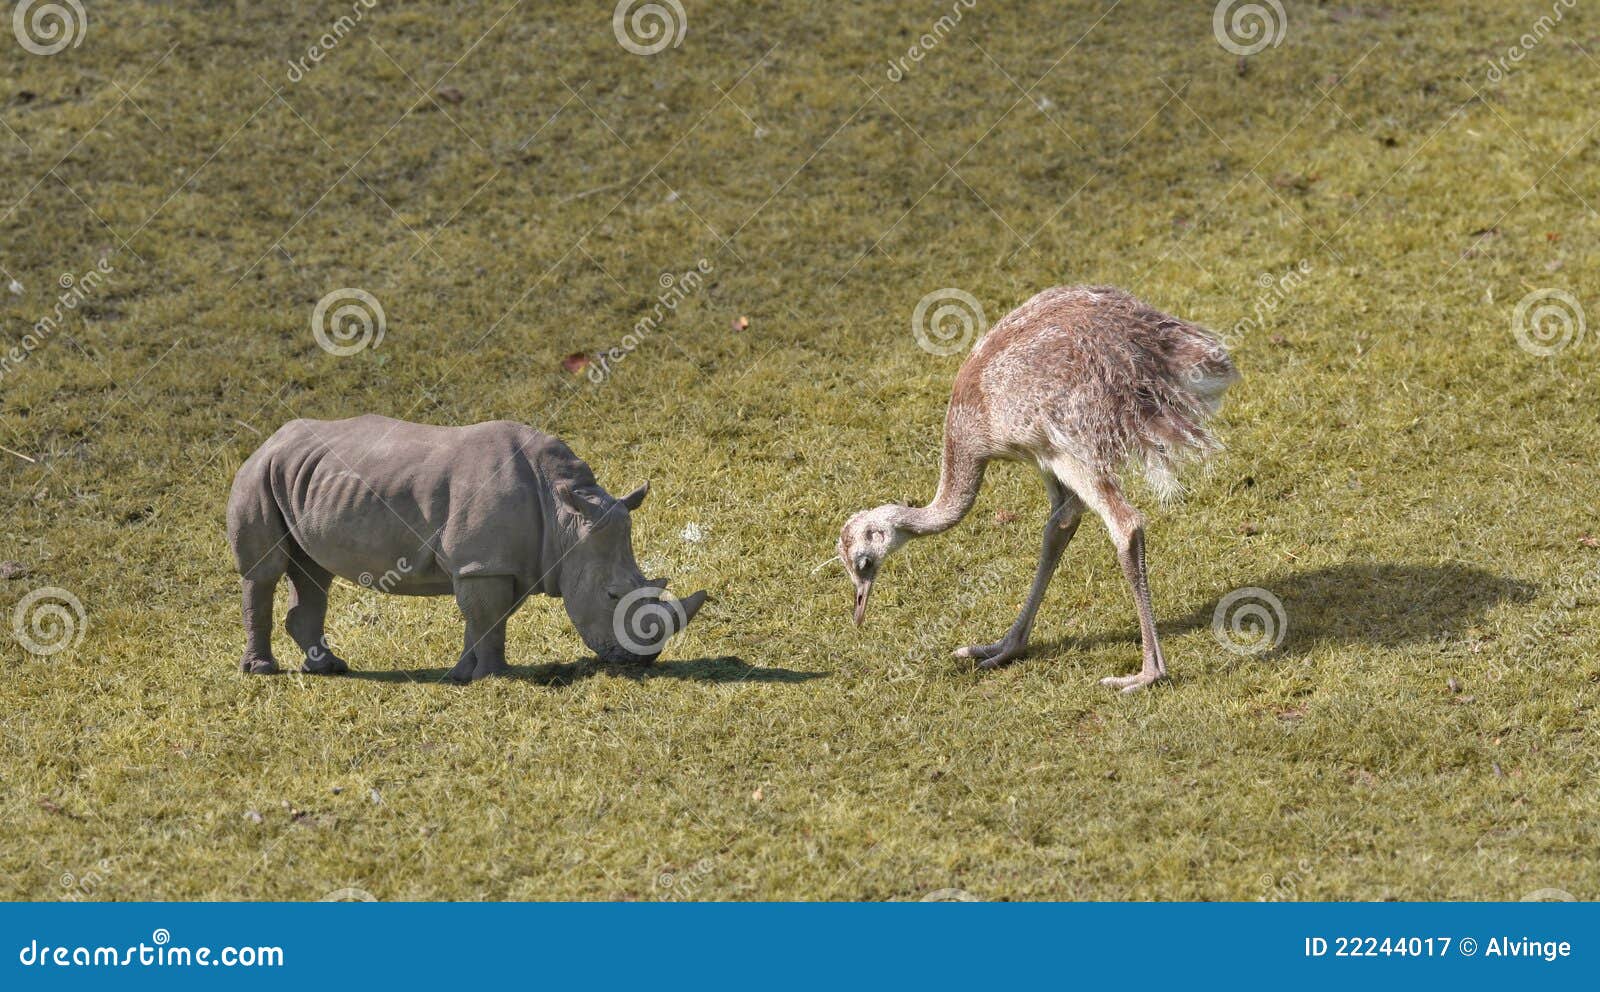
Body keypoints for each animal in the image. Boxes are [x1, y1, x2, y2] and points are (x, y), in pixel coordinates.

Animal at [225, 414, 707, 682]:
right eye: (611, 595)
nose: (642, 661)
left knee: (313, 572)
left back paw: (329, 668)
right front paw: (495, 677)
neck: (566, 513)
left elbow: (488, 619)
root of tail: (269, 438)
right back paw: (262, 671)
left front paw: (462, 674)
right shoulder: (484, 563)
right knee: (264, 572)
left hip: (300, 476)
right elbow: (488, 618)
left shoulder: (502, 563)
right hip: (259, 473)